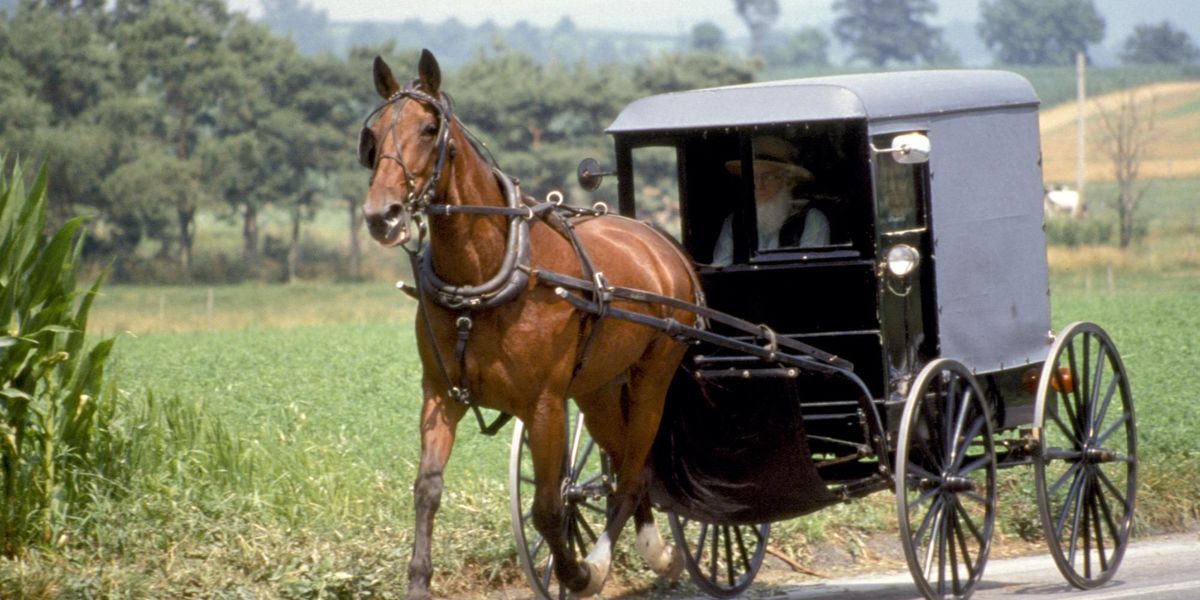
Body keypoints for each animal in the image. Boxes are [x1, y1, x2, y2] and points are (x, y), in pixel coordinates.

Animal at [359, 49, 701, 600]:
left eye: (430, 129)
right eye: (373, 135)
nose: (381, 214)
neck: (485, 279)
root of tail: (660, 242)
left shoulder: (543, 406)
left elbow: (547, 507)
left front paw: (575, 572)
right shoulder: (440, 394)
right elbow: (427, 490)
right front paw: (418, 582)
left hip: (654, 376)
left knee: (632, 470)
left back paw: (617, 560)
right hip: (598, 388)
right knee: (626, 463)